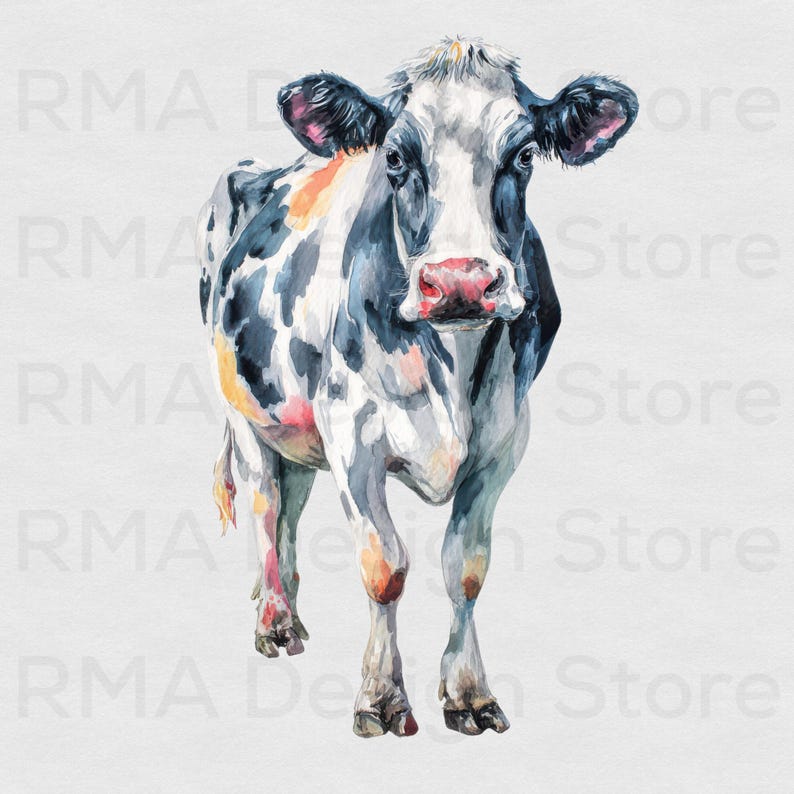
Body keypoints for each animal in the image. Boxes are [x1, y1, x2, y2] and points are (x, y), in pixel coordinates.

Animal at [195, 36, 637, 737]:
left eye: (524, 154)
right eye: (397, 157)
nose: (460, 282)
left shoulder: (502, 445)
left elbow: (467, 571)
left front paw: (469, 693)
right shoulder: (353, 440)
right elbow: (385, 569)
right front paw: (380, 697)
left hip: (297, 428)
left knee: (289, 504)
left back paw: (287, 604)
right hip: (241, 407)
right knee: (264, 499)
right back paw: (273, 621)